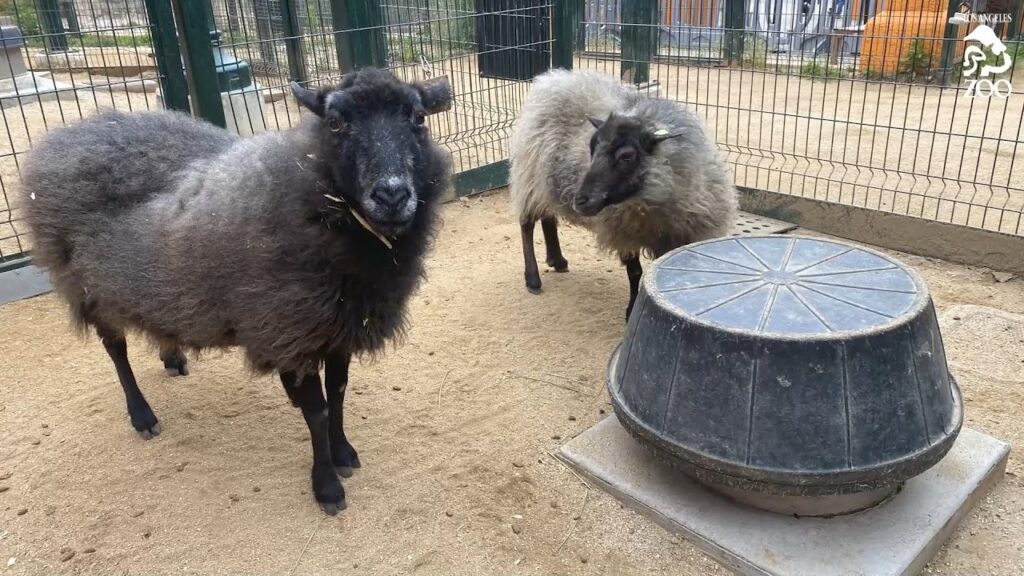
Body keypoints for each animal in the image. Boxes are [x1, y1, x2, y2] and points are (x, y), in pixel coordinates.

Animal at [21, 68, 453, 515]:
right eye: (335, 123)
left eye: (418, 118)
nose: (392, 195)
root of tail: (72, 131)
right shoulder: (285, 329)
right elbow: (316, 411)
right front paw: (327, 486)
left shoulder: (337, 326)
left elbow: (338, 395)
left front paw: (343, 452)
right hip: (87, 286)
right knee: (115, 349)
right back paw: (142, 415)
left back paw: (172, 356)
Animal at [509, 69, 738, 320]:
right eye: (591, 147)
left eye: (626, 156)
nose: (580, 200)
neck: (651, 200)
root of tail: (553, 78)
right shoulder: (624, 232)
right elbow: (635, 272)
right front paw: (631, 310)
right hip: (529, 176)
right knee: (527, 224)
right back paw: (533, 279)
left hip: (548, 181)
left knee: (548, 217)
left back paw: (557, 260)